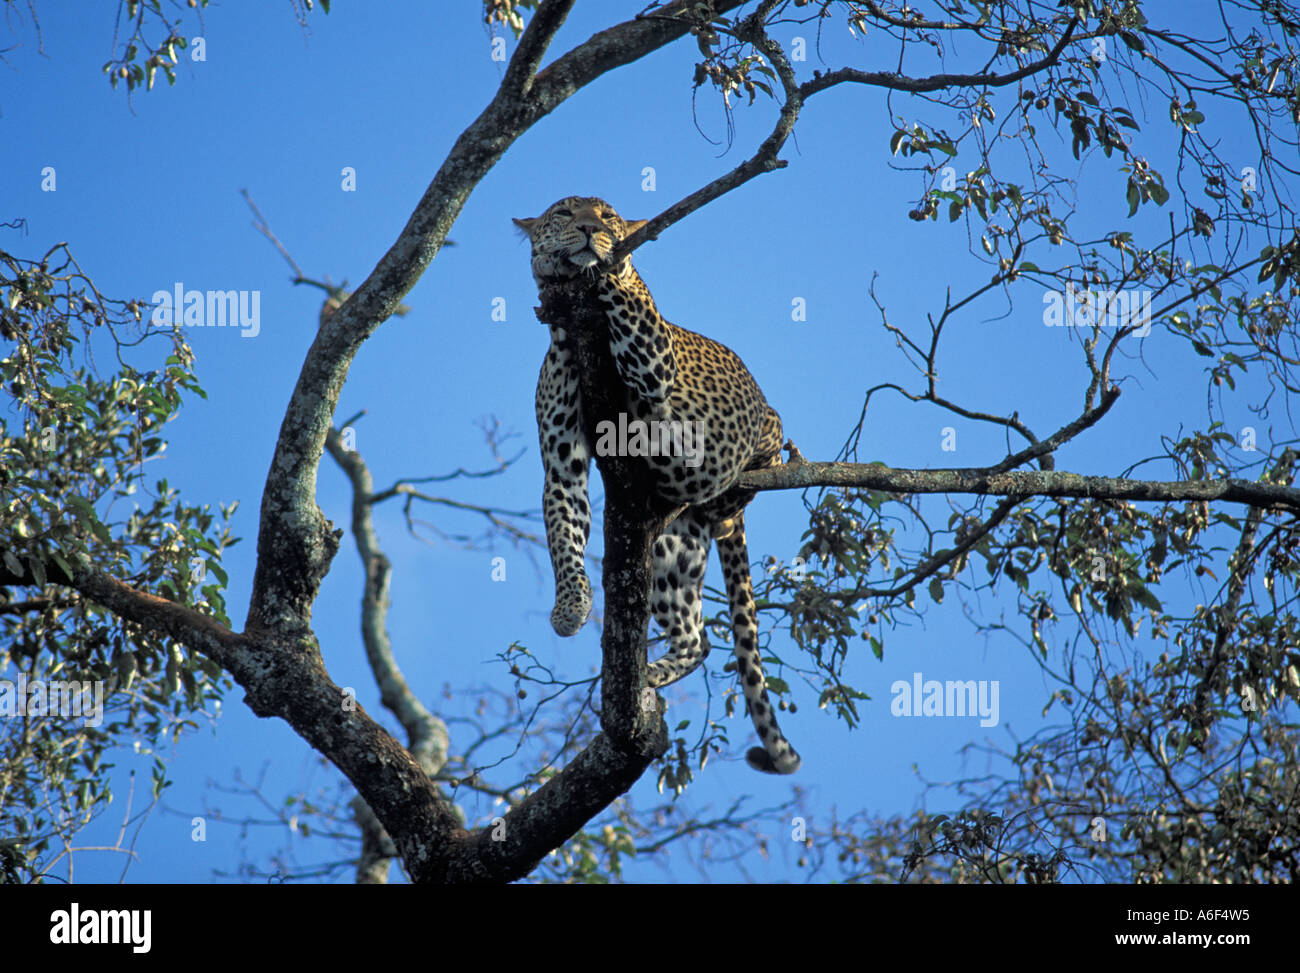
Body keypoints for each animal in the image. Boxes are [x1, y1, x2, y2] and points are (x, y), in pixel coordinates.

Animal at [515, 195, 801, 774]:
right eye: (563, 212)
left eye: (605, 214)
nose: (588, 228)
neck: (575, 332)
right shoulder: (562, 464)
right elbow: (563, 534)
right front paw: (570, 610)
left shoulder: (653, 363)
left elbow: (625, 285)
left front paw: (607, 260)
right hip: (673, 550)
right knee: (697, 638)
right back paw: (650, 672)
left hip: (767, 431)